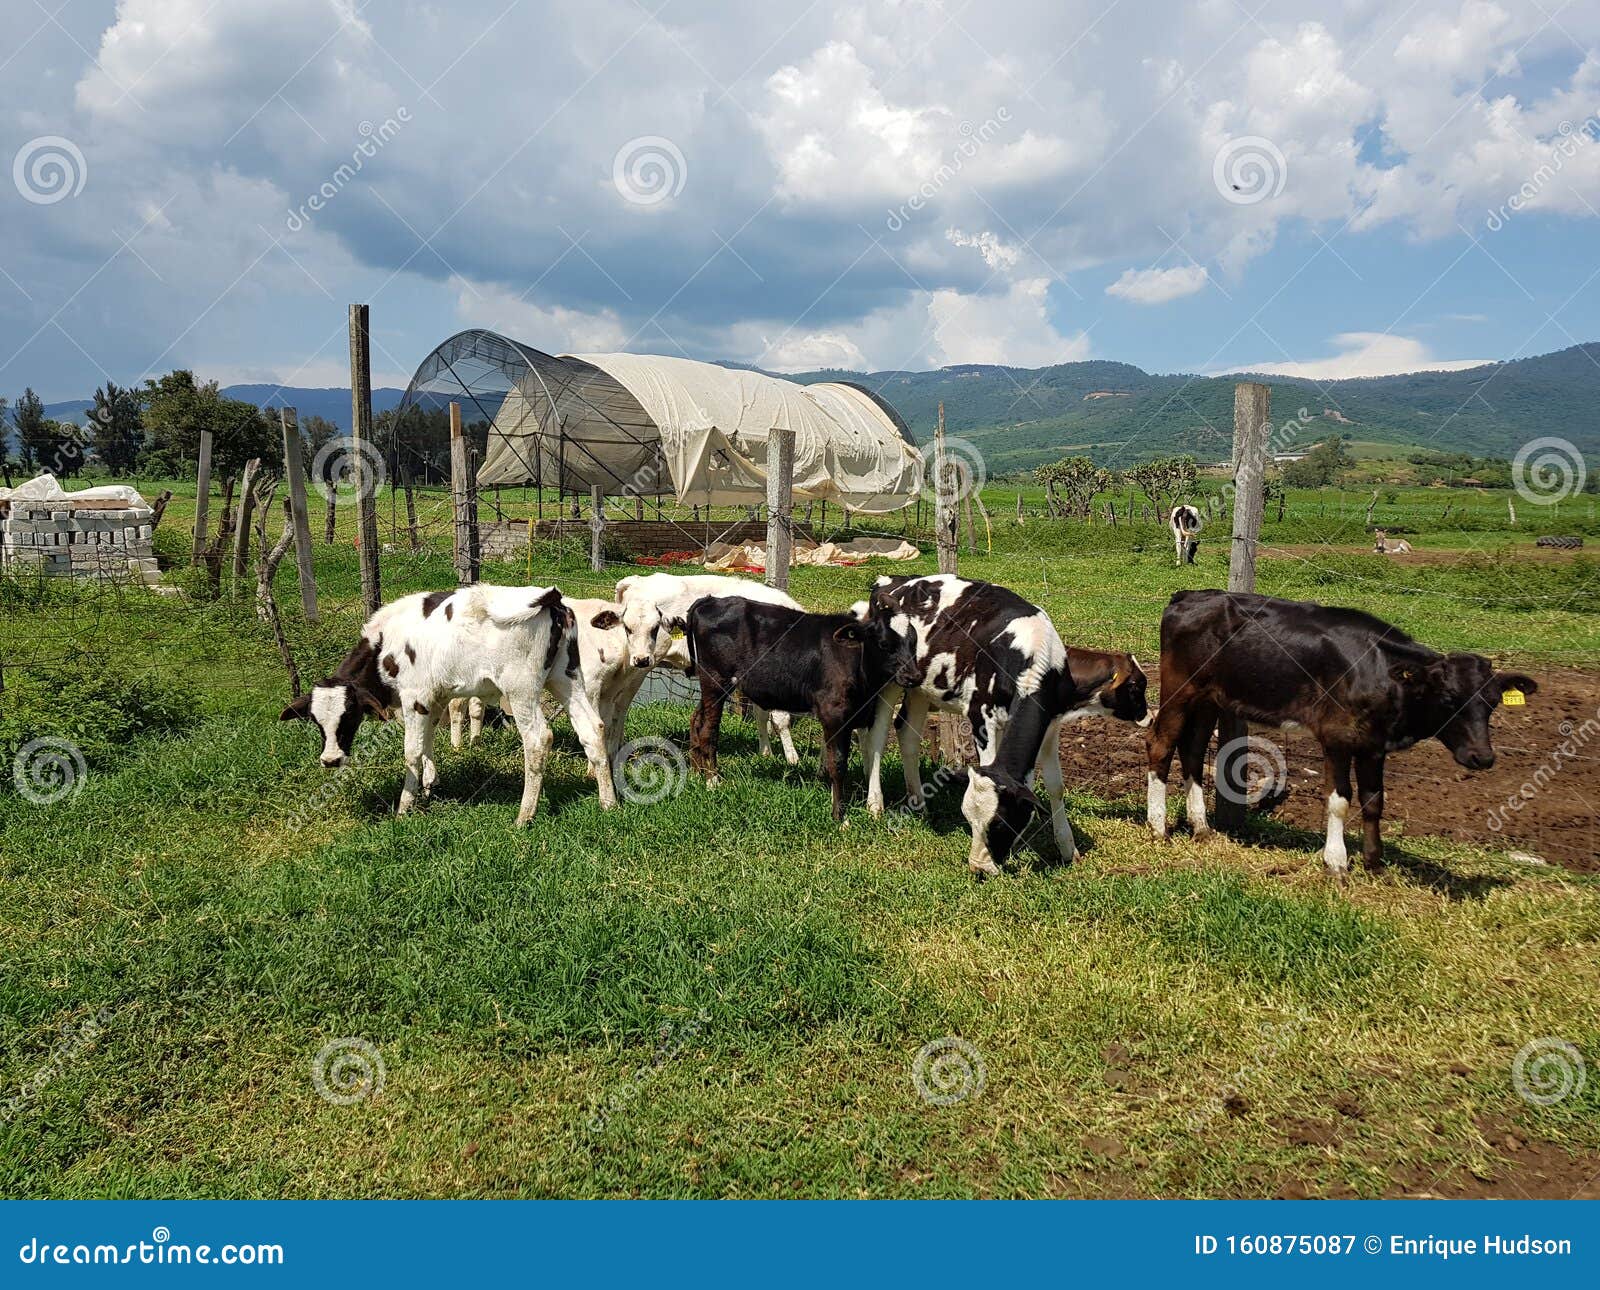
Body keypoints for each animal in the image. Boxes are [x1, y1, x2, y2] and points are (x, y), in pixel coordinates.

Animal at [280, 584, 616, 825]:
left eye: (349, 716)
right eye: (315, 721)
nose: (331, 759)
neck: (385, 643)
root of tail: (550, 597)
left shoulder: (413, 698)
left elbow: (412, 752)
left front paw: (405, 805)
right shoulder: (433, 699)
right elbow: (428, 742)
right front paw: (430, 786)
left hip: (521, 689)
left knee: (538, 740)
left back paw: (524, 815)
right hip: (567, 678)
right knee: (593, 728)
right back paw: (608, 802)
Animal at [683, 596, 919, 821]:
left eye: (914, 643)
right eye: (884, 644)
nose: (914, 676)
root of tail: (711, 600)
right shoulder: (833, 713)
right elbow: (837, 763)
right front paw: (840, 817)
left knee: (697, 720)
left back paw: (697, 774)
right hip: (715, 681)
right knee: (709, 730)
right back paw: (713, 782)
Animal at [860, 574, 1151, 877]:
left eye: (1000, 823)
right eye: (969, 819)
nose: (979, 868)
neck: (1031, 652)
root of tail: (893, 580)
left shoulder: (1051, 725)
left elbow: (1054, 786)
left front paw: (1067, 849)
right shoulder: (981, 717)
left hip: (919, 687)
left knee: (907, 732)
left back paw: (918, 803)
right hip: (889, 681)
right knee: (877, 736)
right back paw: (875, 804)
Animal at [1145, 589, 1537, 872]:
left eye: (1493, 702)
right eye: (1449, 698)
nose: (1482, 757)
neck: (1380, 673)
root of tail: (1188, 596)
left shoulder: (1373, 744)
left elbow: (1374, 801)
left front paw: (1374, 862)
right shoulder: (1336, 736)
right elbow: (1339, 800)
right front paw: (1336, 860)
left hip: (1210, 699)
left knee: (1193, 751)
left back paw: (1201, 827)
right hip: (1181, 688)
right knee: (1160, 744)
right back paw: (1158, 827)